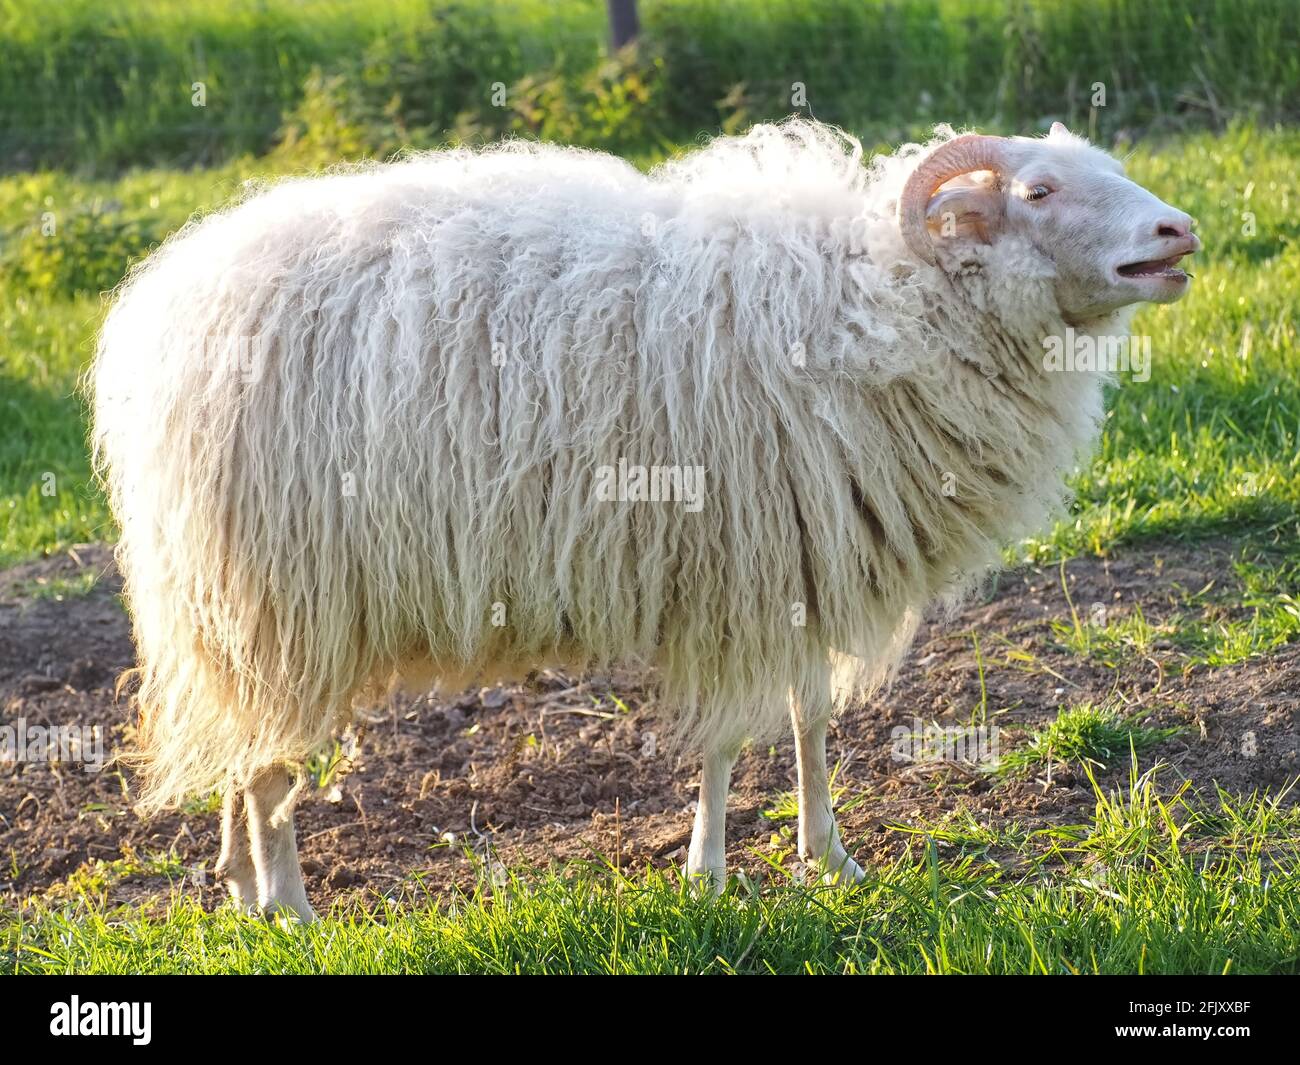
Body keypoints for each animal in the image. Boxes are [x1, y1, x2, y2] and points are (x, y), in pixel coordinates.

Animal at [91, 119, 1199, 920]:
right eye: (1038, 192)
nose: (1179, 232)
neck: (880, 305)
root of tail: (164, 308)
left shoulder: (802, 554)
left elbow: (809, 716)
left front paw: (829, 858)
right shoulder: (737, 566)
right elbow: (723, 739)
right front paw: (710, 873)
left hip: (235, 607)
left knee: (245, 748)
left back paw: (240, 885)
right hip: (282, 591)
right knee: (270, 763)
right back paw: (289, 905)